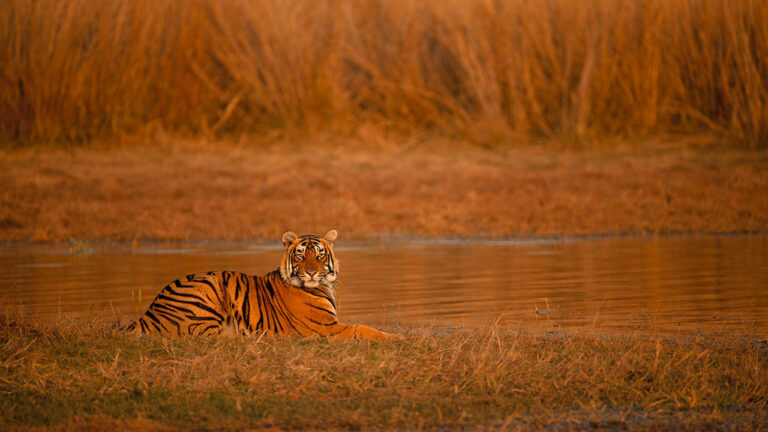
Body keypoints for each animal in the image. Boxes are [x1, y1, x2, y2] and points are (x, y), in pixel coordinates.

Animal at [124, 230, 401, 341]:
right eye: (301, 255)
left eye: (320, 254)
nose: (311, 272)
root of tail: (148, 312)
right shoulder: (326, 329)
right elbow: (364, 329)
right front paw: (397, 338)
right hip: (209, 286)